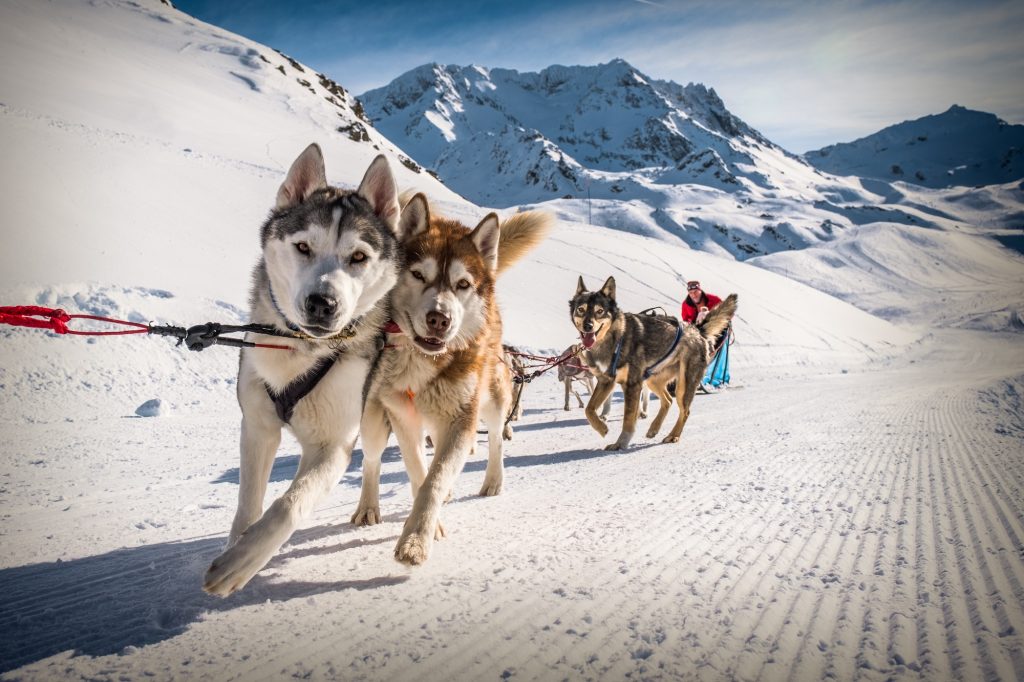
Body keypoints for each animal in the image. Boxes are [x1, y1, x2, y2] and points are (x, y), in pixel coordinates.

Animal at [203, 144, 404, 597]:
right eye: (303, 247)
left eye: (359, 257)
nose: (322, 303)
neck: (300, 350)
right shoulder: (257, 427)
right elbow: (249, 501)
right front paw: (238, 543)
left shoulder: (333, 445)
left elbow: (288, 506)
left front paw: (239, 563)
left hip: (373, 420)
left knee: (372, 462)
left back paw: (369, 506)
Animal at [352, 198, 552, 565]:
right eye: (418, 274)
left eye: (462, 284)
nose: (439, 319)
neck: (423, 360)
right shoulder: (403, 418)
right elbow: (419, 472)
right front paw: (429, 526)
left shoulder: (460, 419)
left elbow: (434, 480)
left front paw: (416, 539)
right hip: (373, 419)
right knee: (371, 460)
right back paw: (368, 507)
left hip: (493, 399)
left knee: (496, 438)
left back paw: (493, 480)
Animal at [570, 276, 737, 450]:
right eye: (581, 309)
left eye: (599, 311)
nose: (588, 326)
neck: (615, 337)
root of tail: (697, 330)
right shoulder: (606, 381)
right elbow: (589, 409)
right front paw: (602, 429)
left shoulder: (632, 385)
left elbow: (628, 419)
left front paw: (620, 443)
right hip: (652, 380)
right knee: (668, 400)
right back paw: (654, 428)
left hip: (683, 386)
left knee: (685, 411)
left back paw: (673, 435)